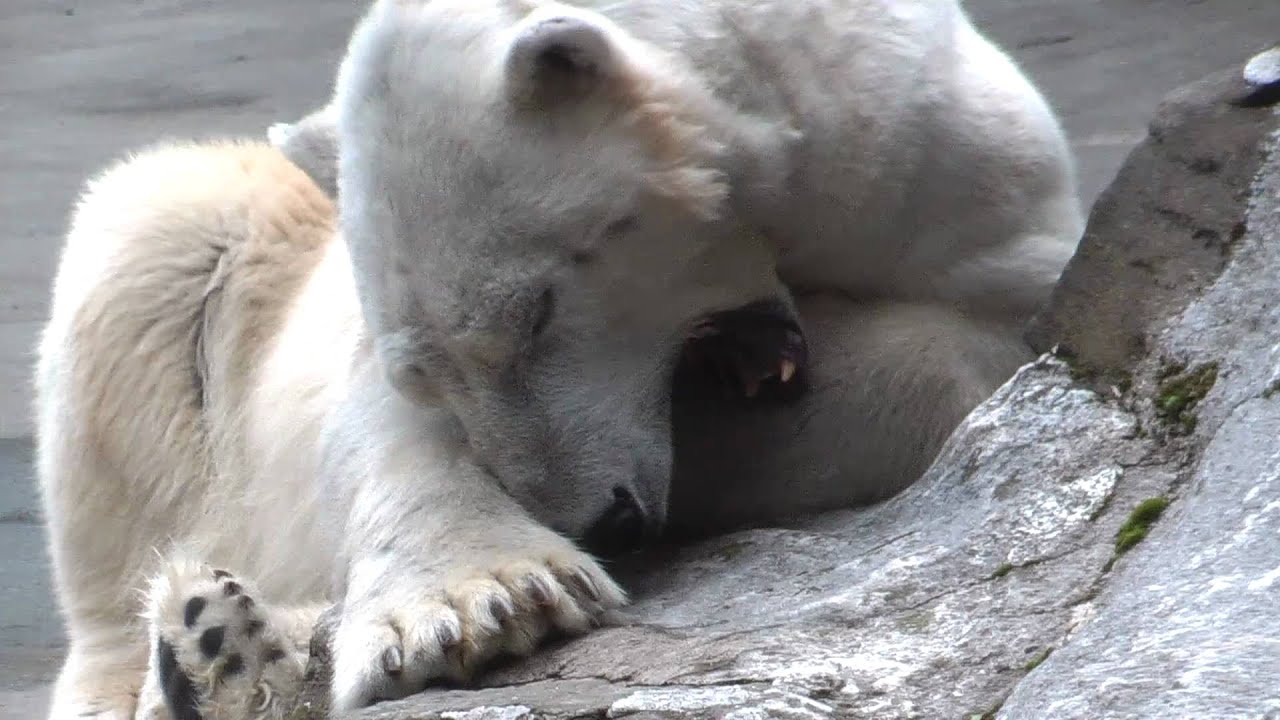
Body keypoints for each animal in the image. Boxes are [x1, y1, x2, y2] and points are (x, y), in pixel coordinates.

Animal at [34, 0, 1083, 718]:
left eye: (535, 313)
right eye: (426, 369)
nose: (600, 520)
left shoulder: (942, 175)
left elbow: (964, 352)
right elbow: (382, 438)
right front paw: (489, 602)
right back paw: (199, 652)